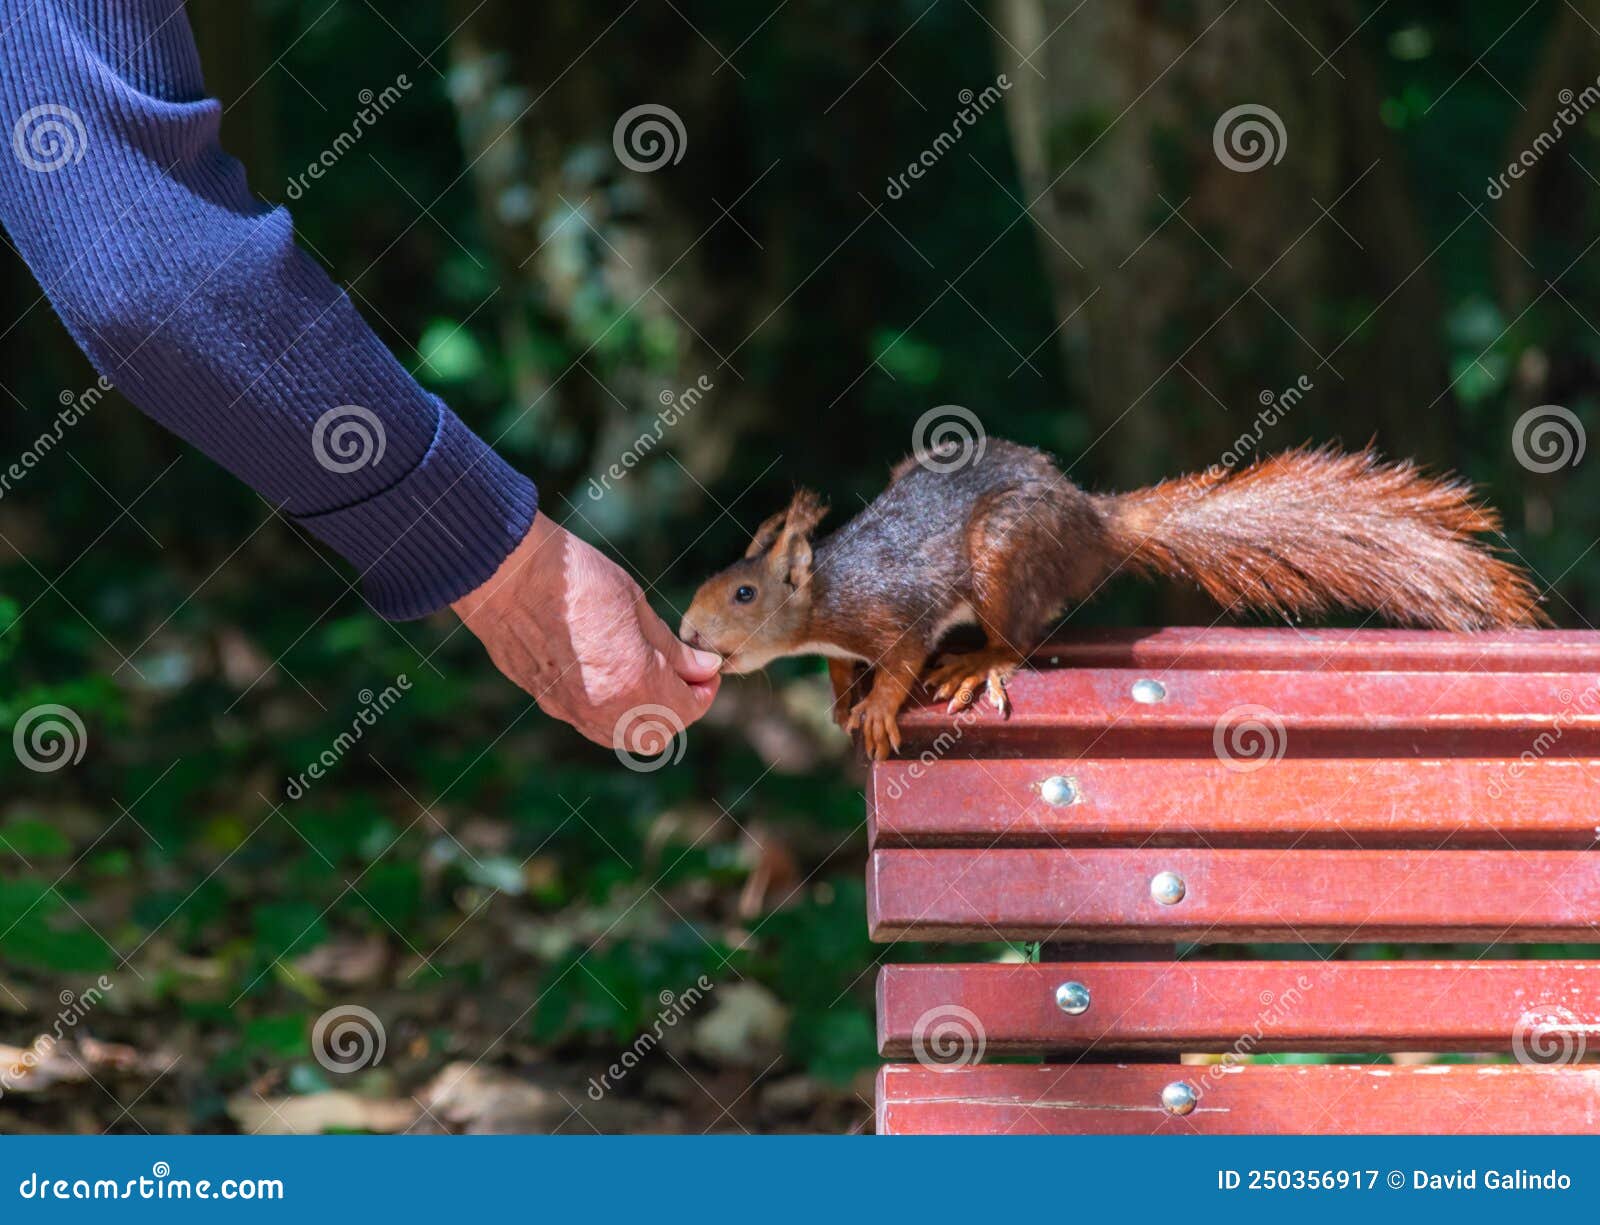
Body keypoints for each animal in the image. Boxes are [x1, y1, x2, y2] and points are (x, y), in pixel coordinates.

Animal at [680, 440, 1545, 760]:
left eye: (744, 592)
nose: (686, 631)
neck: (826, 599)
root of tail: (1091, 522)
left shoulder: (896, 608)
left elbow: (899, 661)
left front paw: (878, 708)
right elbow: (842, 670)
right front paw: (841, 699)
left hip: (1003, 551)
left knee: (1019, 635)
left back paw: (979, 661)